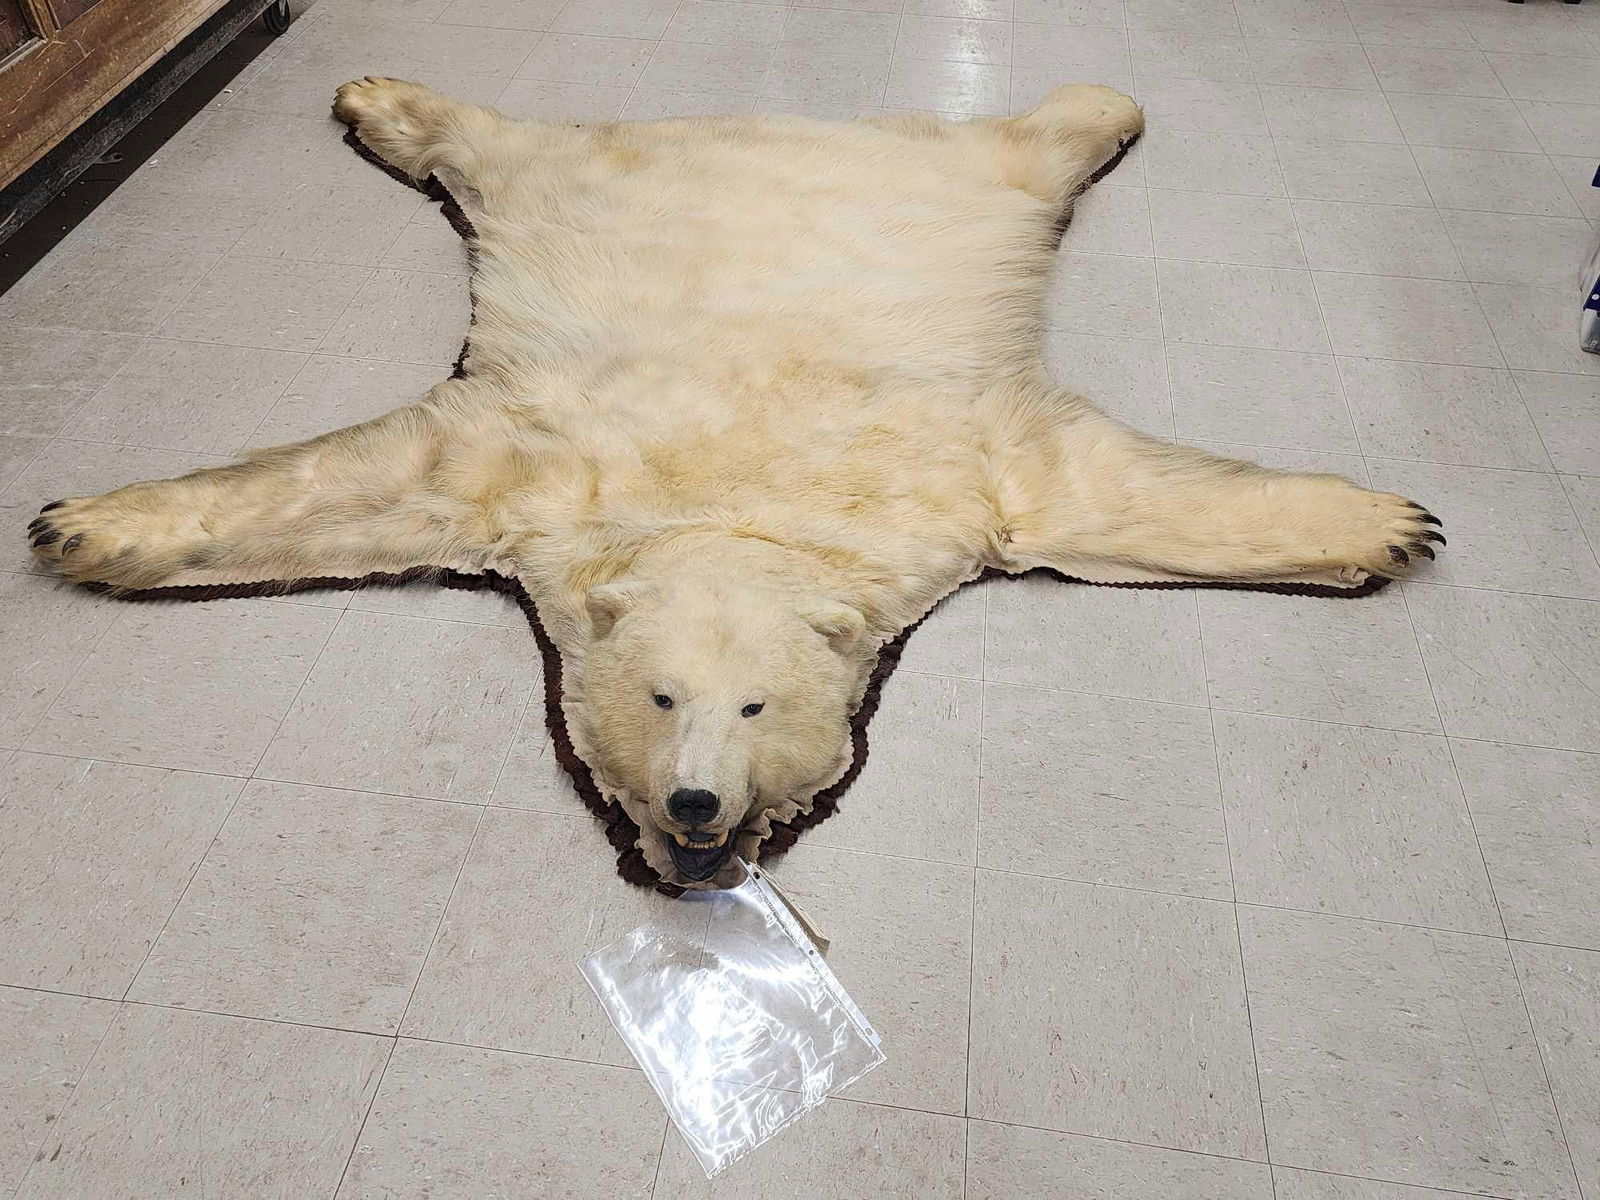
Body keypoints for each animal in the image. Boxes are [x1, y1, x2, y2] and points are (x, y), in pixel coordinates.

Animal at [26, 78, 1442, 888]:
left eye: (755, 708)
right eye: (661, 700)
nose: (696, 811)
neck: (736, 508)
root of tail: (772, 121)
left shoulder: (962, 468)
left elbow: (1103, 494)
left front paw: (1393, 521)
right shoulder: (526, 462)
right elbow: (359, 483)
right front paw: (78, 522)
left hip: (960, 197)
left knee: (1030, 146)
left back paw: (1105, 103)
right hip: (567, 187)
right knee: (489, 143)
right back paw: (378, 98)